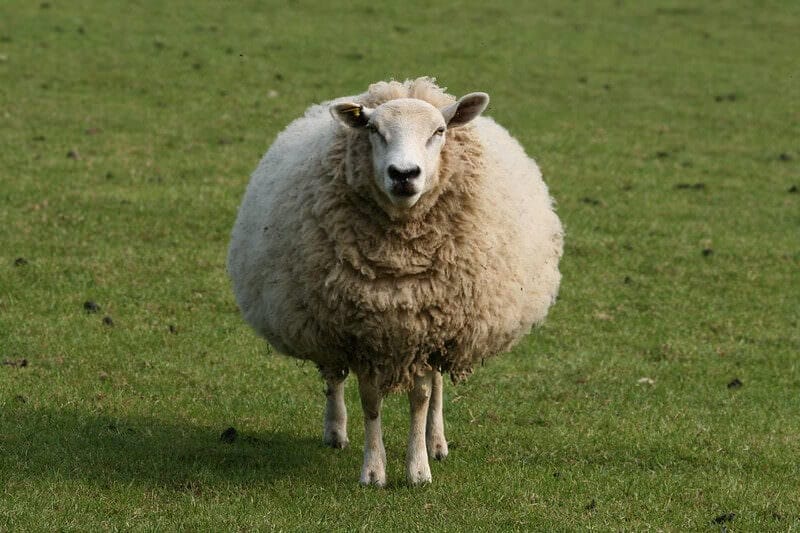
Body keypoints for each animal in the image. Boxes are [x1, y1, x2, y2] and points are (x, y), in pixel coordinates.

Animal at [227, 77, 563, 486]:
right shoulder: (360, 334)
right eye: (374, 130)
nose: (404, 174)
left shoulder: (426, 330)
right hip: (320, 321)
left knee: (435, 384)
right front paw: (374, 470)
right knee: (333, 375)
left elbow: (420, 399)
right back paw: (335, 430)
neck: (401, 265)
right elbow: (370, 402)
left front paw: (418, 468)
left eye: (439, 131)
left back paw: (436, 442)